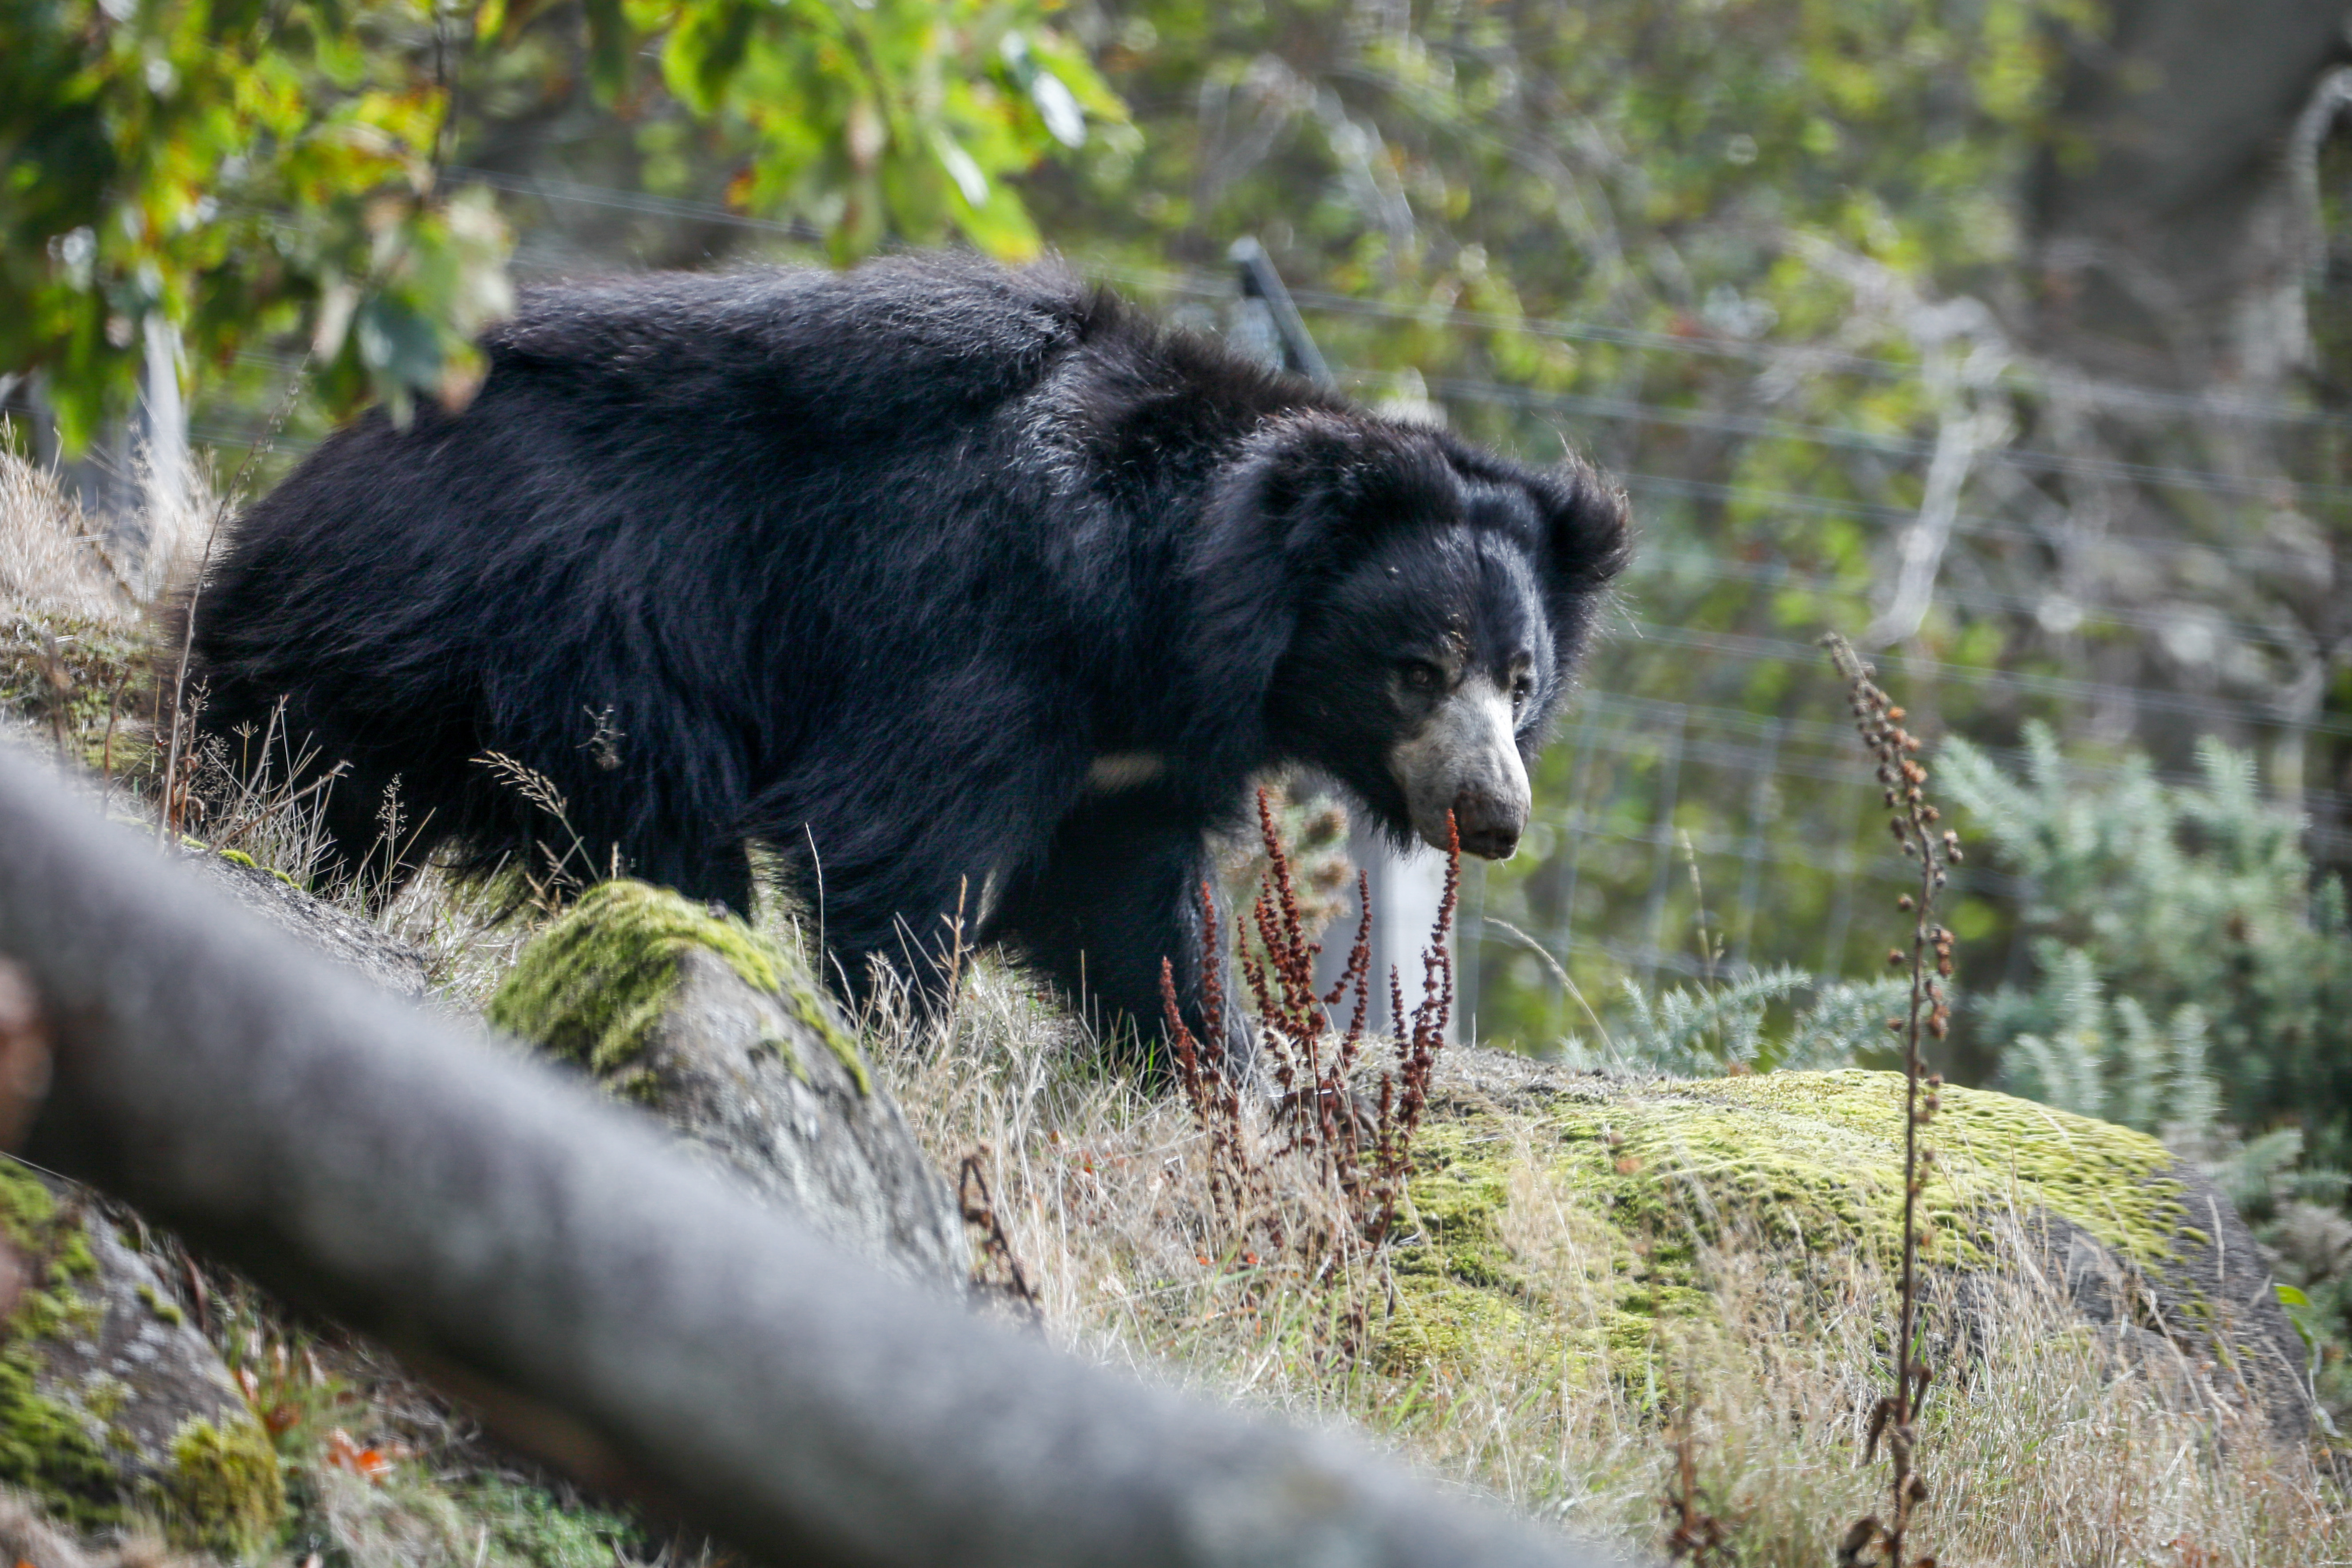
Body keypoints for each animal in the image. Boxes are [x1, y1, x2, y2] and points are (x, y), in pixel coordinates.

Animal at [185, 255, 1629, 1064]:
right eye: (1418, 667)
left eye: (1520, 683)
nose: (1493, 814)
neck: (1178, 606)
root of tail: (312, 486)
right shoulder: (980, 624)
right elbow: (899, 843)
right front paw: (889, 1042)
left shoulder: (1131, 753)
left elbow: (1132, 909)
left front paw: (1224, 1069)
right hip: (554, 629)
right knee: (653, 824)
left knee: (339, 791)